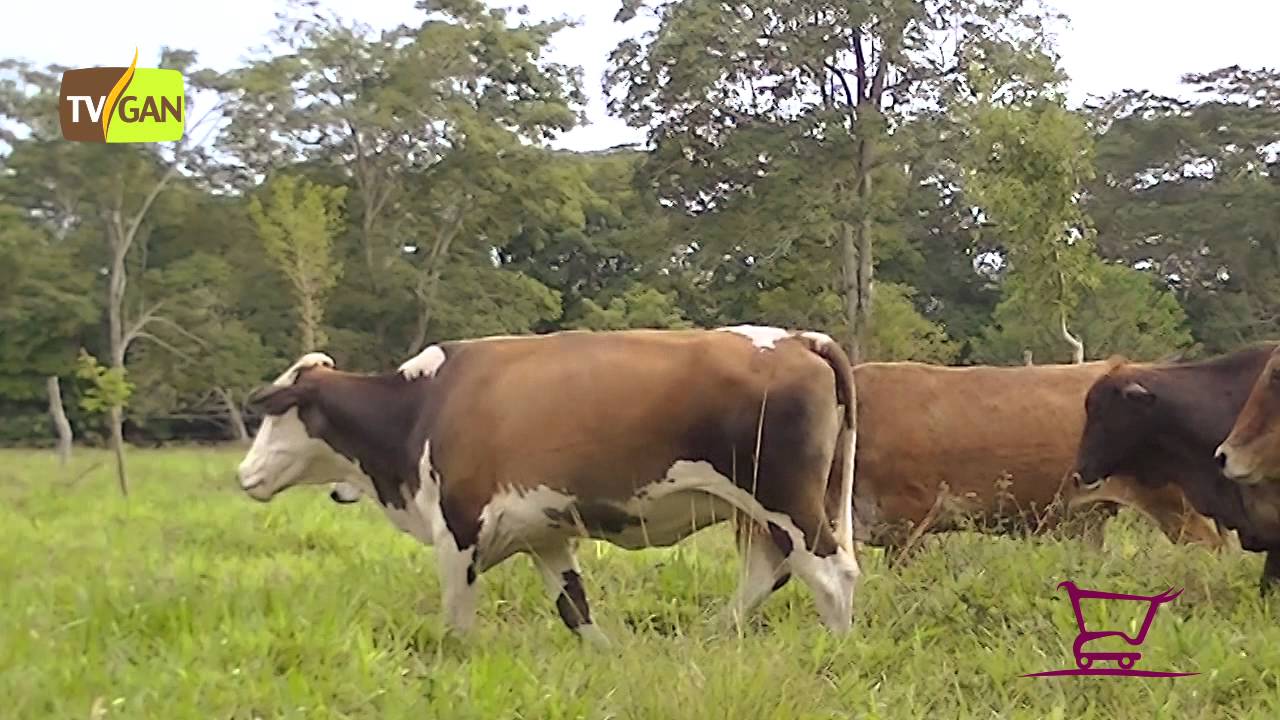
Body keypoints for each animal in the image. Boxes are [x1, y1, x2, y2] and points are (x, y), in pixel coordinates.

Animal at [235, 327, 861, 642]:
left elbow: (457, 621)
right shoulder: (545, 535)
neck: (421, 407)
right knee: (765, 574)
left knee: (832, 576)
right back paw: (710, 635)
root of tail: (797, 338)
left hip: (787, 504)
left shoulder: (458, 528)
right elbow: (575, 610)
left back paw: (836, 650)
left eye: (274, 412)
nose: (243, 474)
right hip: (765, 512)